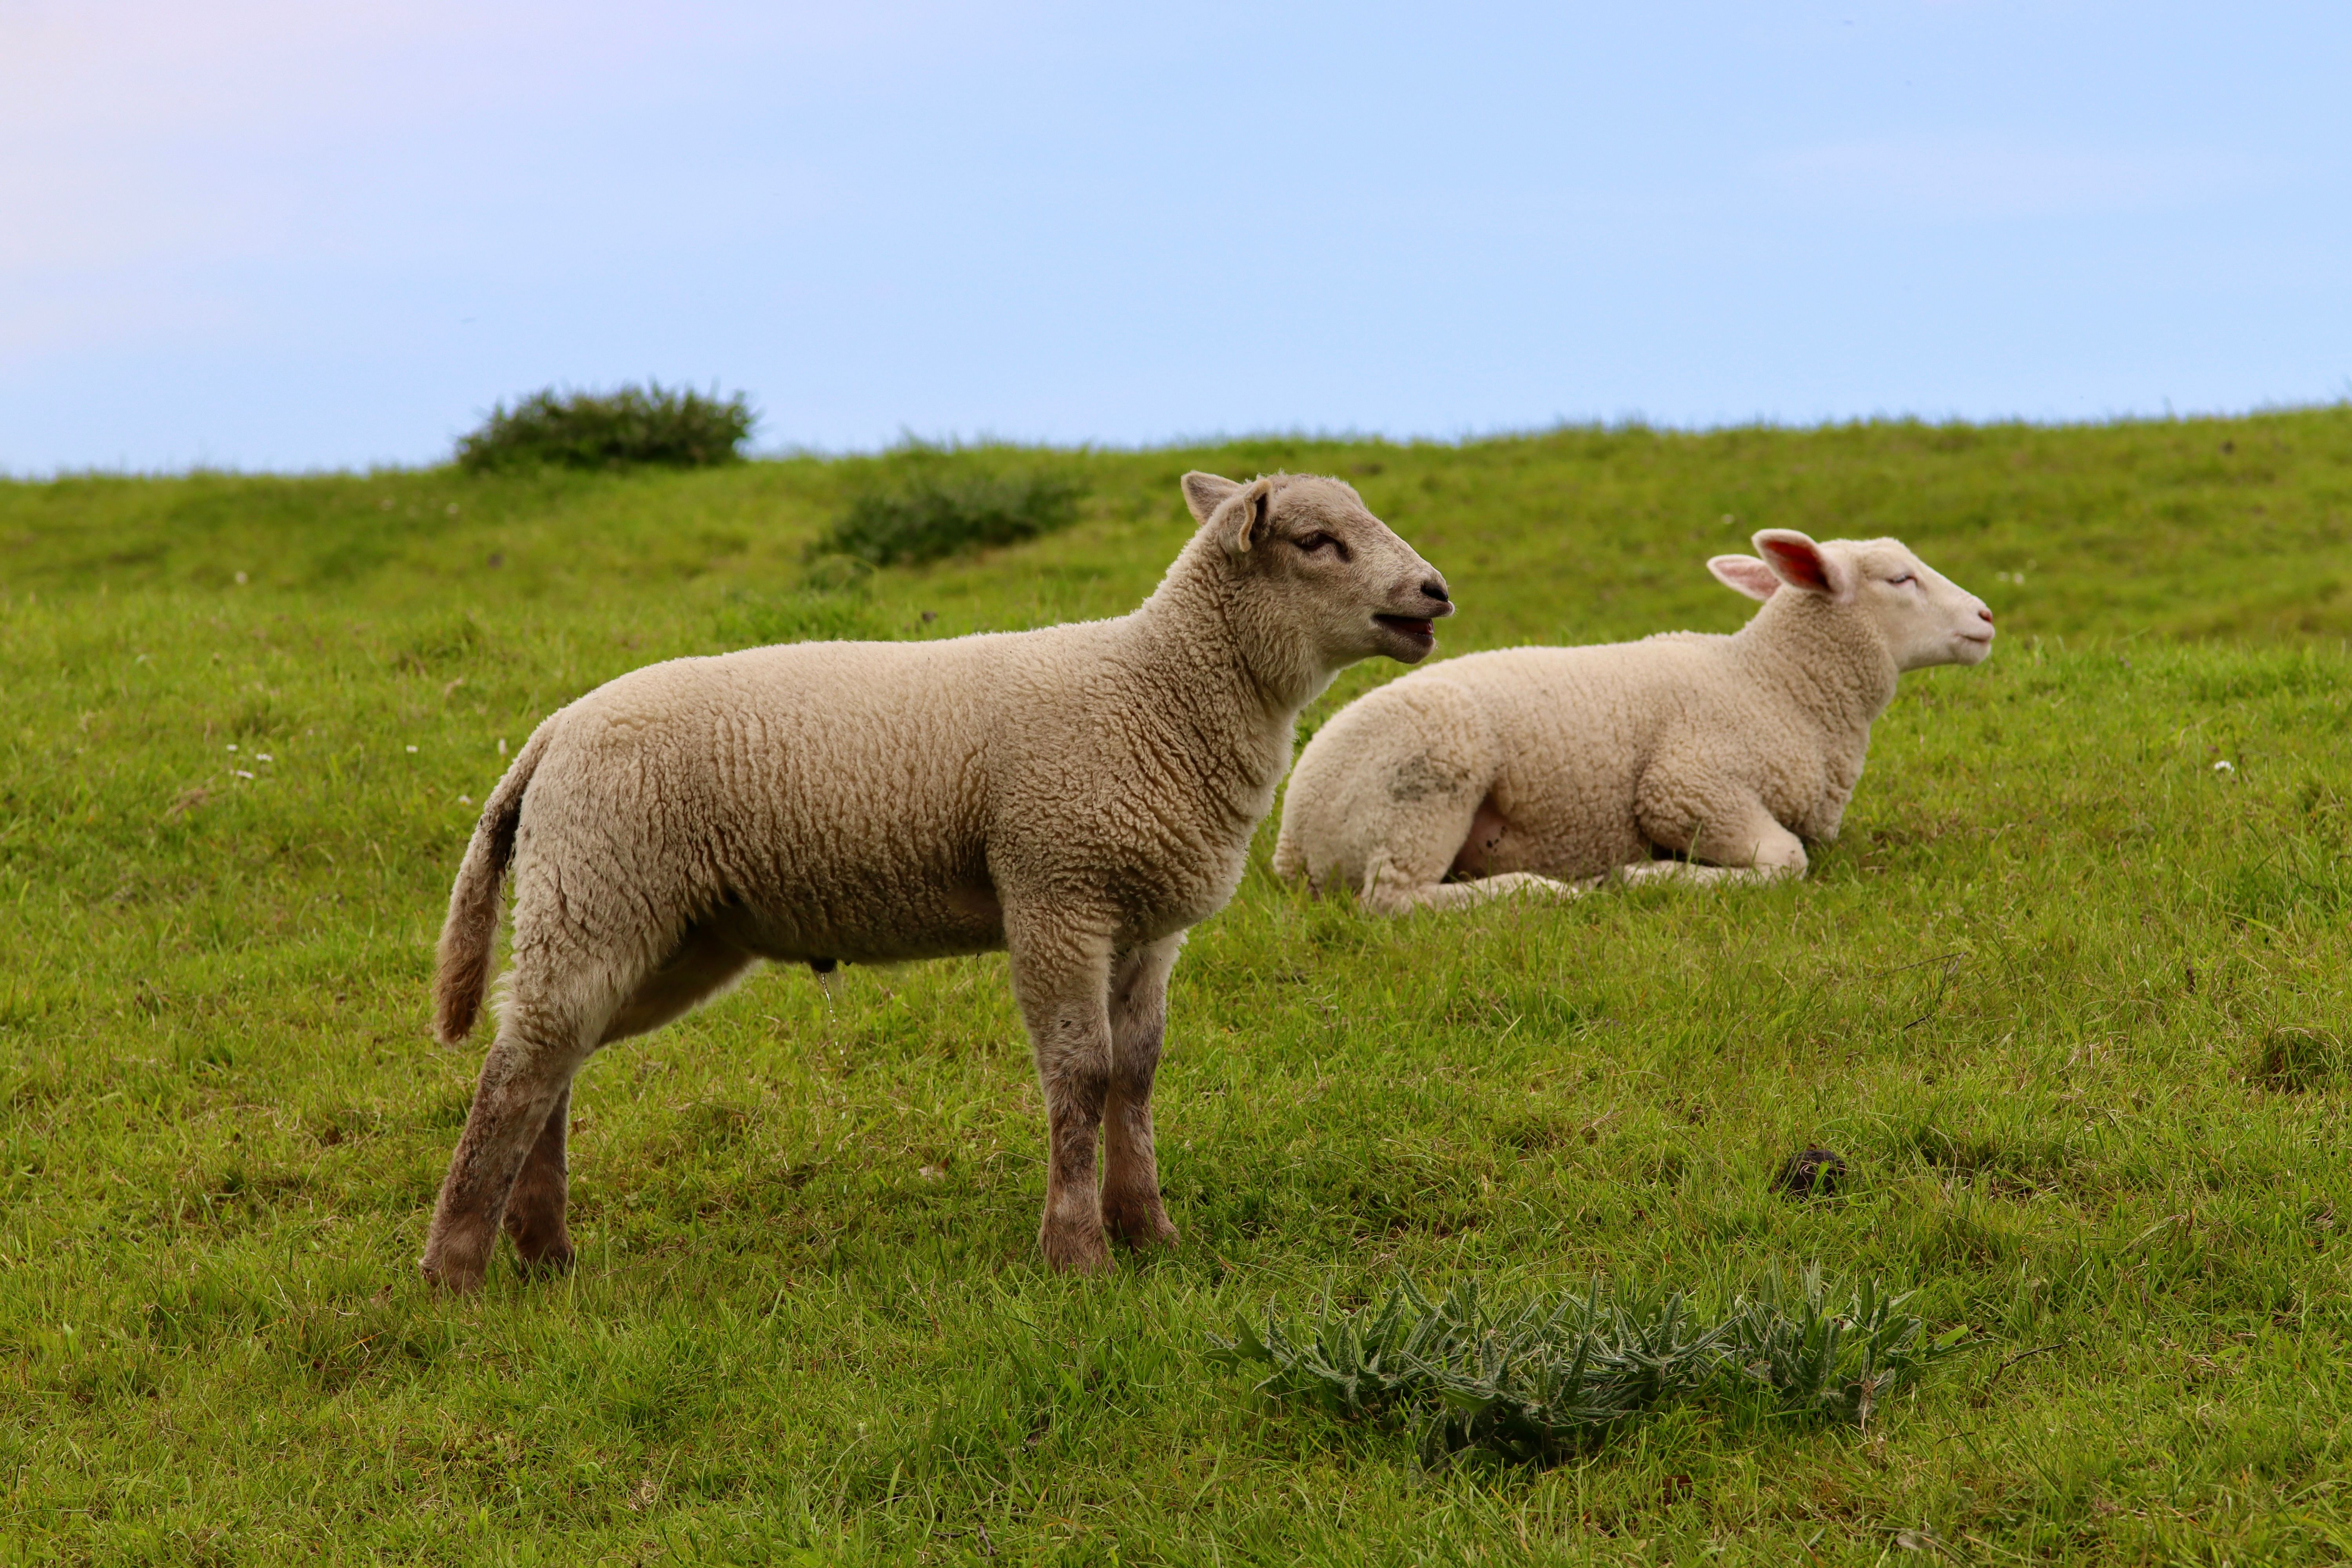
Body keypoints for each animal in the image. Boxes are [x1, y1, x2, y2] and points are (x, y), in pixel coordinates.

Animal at [421, 471, 1453, 1289]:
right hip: (600, 888)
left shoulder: (1149, 925)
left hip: (663, 928)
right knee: (517, 1070)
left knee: (552, 1057)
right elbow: (1082, 1074)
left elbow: (1138, 1073)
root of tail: (552, 732)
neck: (1158, 693)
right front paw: (1077, 1253)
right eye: (1317, 542)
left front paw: (1148, 1231)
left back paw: (544, 1250)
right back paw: (456, 1271)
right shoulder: (1055, 891)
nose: (1436, 592)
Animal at [1272, 529, 1992, 913]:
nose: (1986, 617)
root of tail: (1290, 837)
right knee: (1392, 898)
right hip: (1426, 781)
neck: (1777, 684)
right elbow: (1788, 861)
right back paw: (1543, 891)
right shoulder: (1687, 785)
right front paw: (1648, 876)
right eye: (1900, 580)